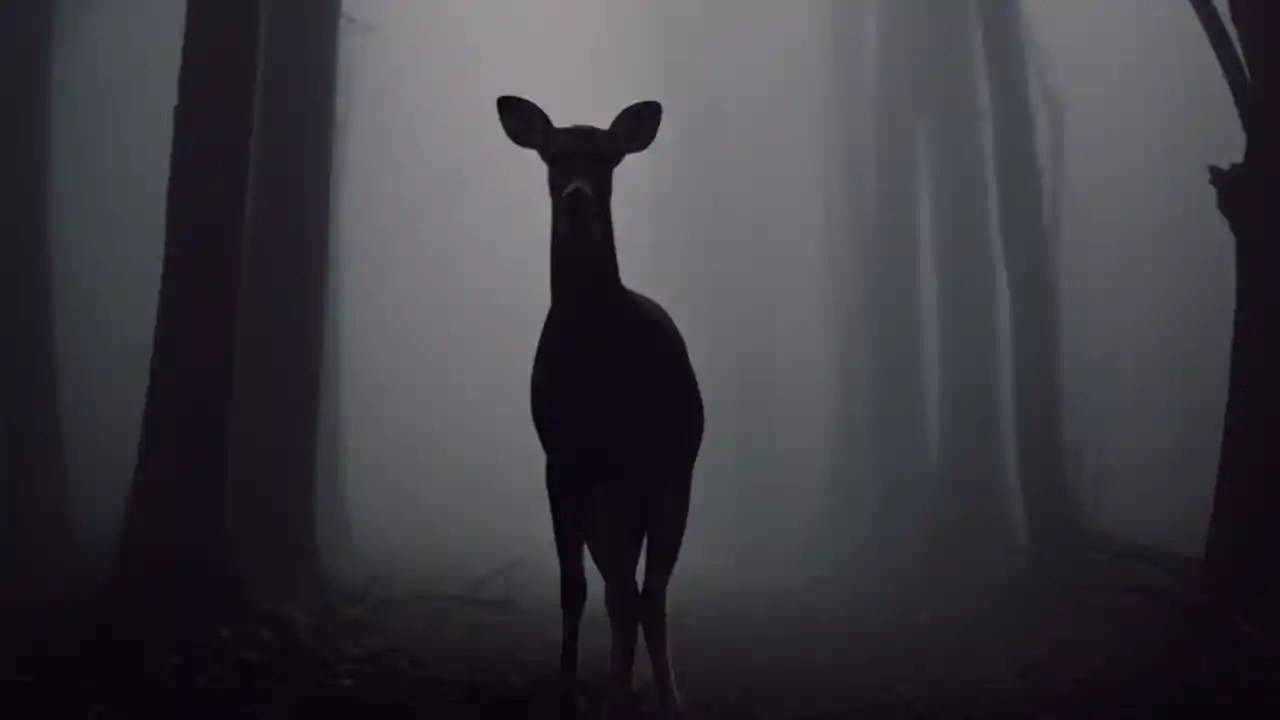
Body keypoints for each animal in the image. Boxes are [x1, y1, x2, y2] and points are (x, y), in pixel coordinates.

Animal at [496, 95, 704, 719]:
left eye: (608, 159)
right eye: (554, 155)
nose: (577, 195)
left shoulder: (660, 463)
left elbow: (643, 592)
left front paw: (659, 697)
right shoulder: (561, 456)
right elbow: (575, 587)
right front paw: (567, 688)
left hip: (659, 477)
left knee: (644, 592)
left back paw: (658, 695)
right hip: (608, 496)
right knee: (620, 589)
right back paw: (621, 689)